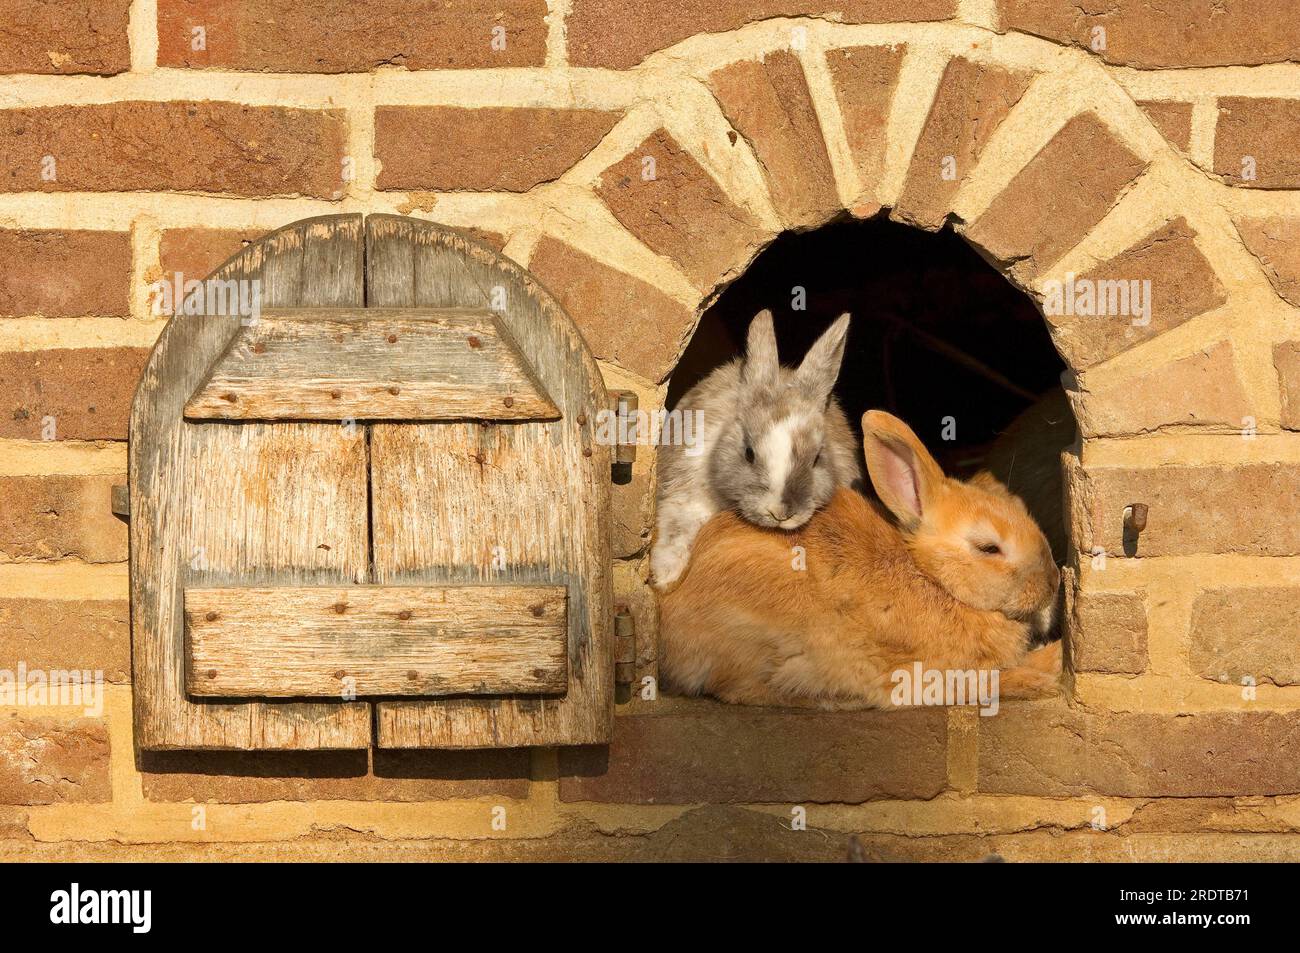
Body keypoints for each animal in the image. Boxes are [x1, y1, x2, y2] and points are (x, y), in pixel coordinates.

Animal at [651, 310, 861, 591]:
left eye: (817, 458)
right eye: (748, 453)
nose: (781, 513)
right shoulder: (685, 493)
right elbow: (676, 528)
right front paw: (664, 576)